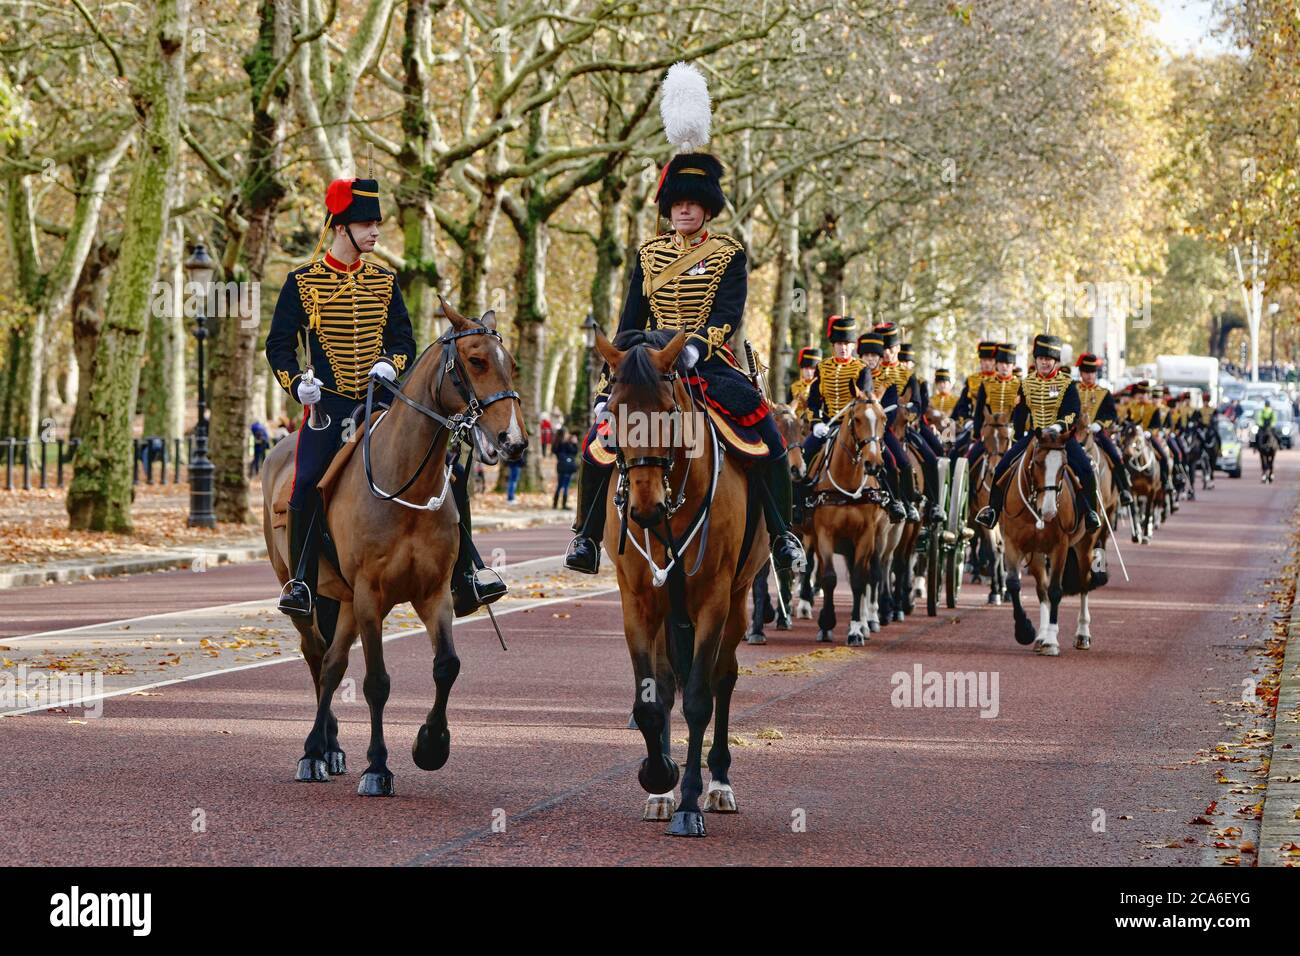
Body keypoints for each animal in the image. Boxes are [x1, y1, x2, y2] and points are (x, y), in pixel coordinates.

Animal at [261, 299, 527, 797]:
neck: (403, 481)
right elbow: (376, 682)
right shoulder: (371, 596)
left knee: (332, 663)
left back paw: (329, 750)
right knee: (317, 657)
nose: (513, 442)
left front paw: (431, 745)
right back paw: (314, 752)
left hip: (344, 599)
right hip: (310, 595)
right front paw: (378, 767)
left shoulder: (433, 594)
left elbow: (447, 665)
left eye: (512, 364)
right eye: (476, 361)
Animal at [594, 328, 770, 837]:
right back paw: (664, 794)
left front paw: (690, 802)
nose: (645, 509)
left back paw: (719, 785)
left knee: (721, 679)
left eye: (669, 412)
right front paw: (659, 779)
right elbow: (651, 701)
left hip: (736, 601)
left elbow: (698, 699)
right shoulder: (638, 604)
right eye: (614, 413)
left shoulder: (713, 601)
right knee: (671, 682)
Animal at [802, 391, 889, 645]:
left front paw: (856, 630)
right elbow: (829, 578)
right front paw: (826, 624)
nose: (873, 464)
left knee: (872, 574)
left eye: (884, 419)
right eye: (857, 419)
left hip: (878, 538)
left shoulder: (865, 535)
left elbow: (860, 579)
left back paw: (869, 621)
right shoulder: (824, 533)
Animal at [994, 429, 1089, 657]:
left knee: (1084, 584)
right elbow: (1014, 583)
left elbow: (1055, 590)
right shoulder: (1012, 544)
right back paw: (1040, 637)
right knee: (1041, 589)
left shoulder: (1060, 547)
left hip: (1085, 544)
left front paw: (1052, 642)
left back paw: (1082, 634)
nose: (1049, 511)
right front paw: (1025, 631)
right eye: (1037, 463)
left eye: (1064, 465)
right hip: (1036, 553)